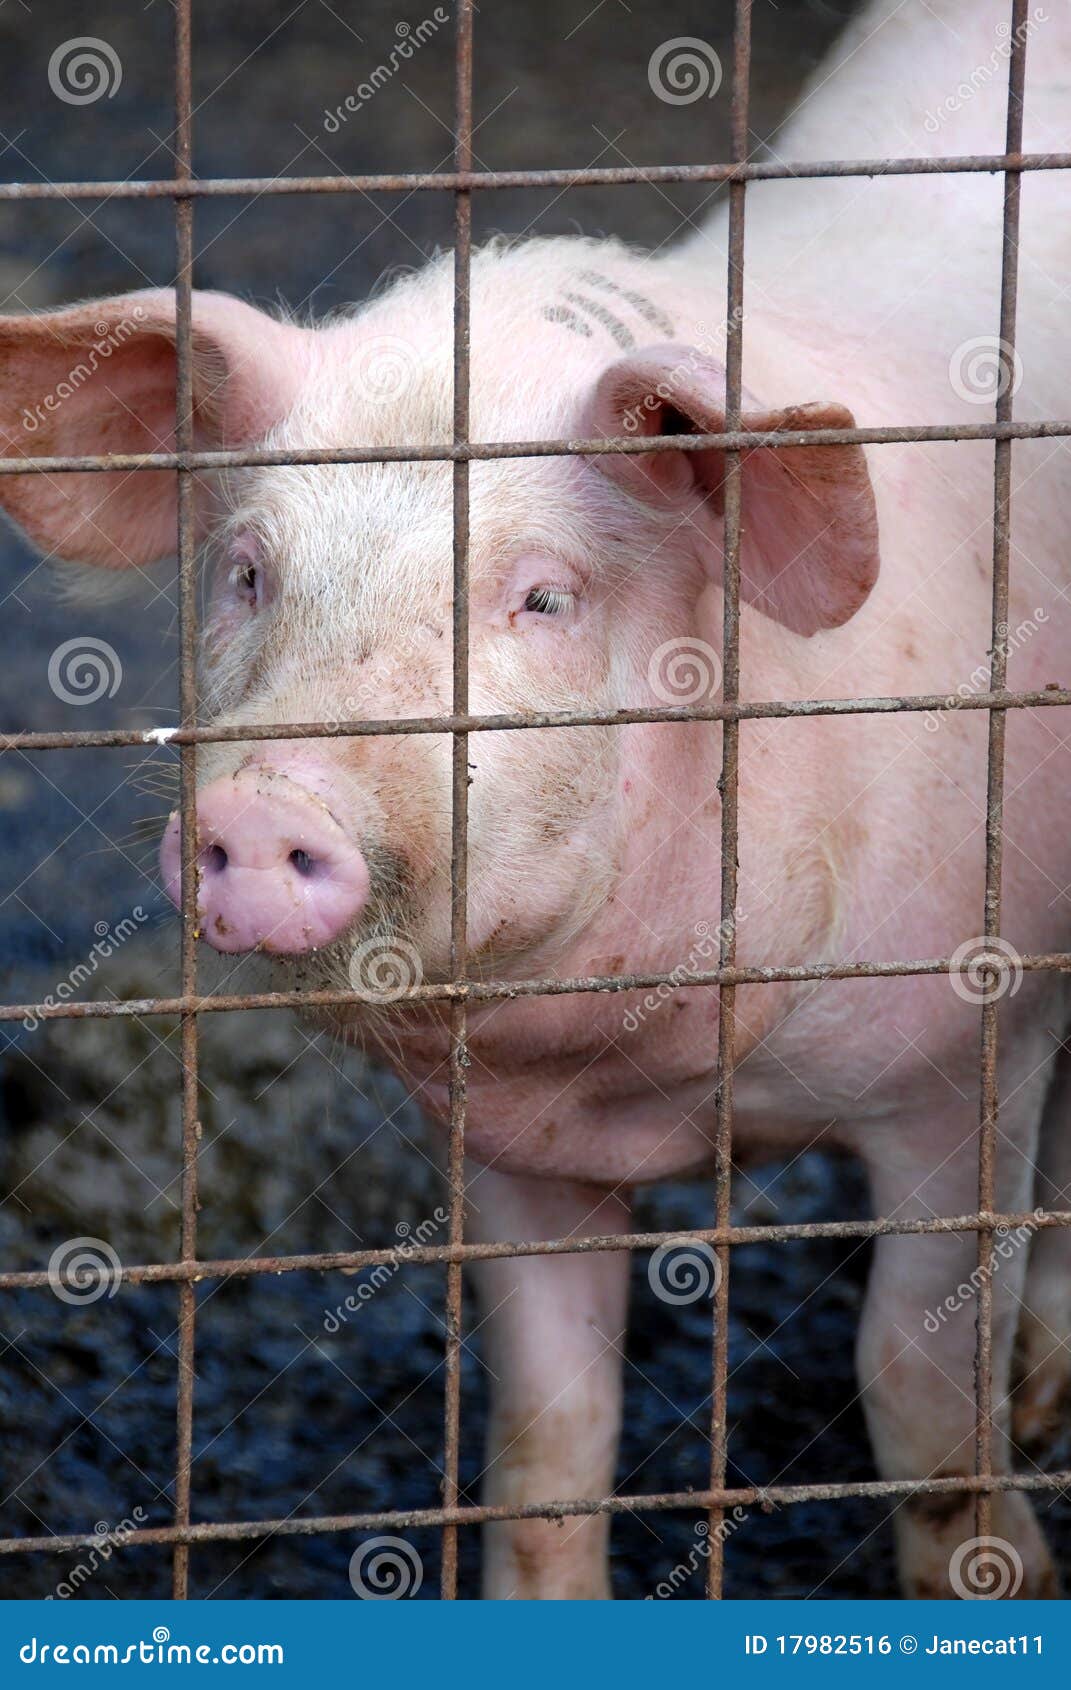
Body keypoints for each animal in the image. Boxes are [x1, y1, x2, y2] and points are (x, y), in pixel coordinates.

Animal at [2, 0, 1070, 1600]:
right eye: (248, 569)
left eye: (544, 596)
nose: (265, 802)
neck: (662, 1083)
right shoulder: (507, 1149)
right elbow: (549, 1427)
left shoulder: (966, 1053)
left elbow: (916, 1380)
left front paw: (1005, 1571)